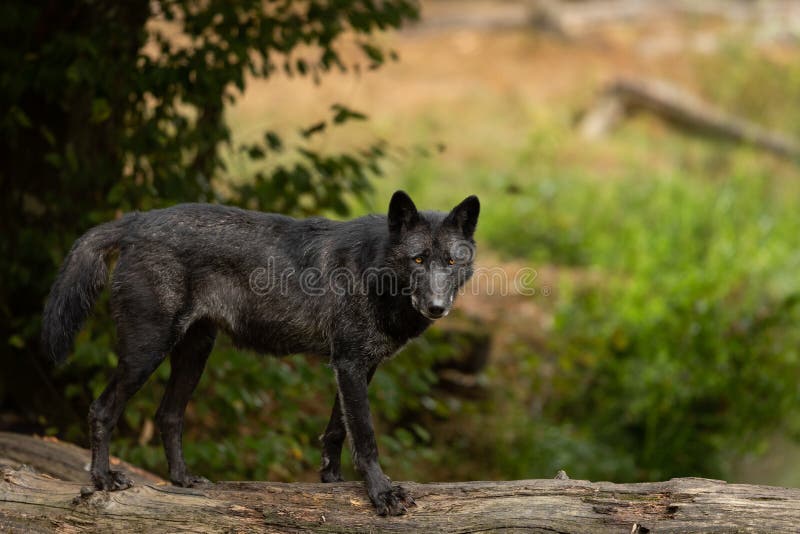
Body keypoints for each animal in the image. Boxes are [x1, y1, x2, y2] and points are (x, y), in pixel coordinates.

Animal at [41, 190, 479, 516]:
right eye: (418, 259)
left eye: (451, 261)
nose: (437, 307)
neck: (374, 270)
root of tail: (135, 220)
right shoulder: (351, 364)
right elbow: (366, 436)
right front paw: (381, 495)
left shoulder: (355, 367)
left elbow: (336, 430)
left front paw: (332, 483)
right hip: (146, 351)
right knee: (102, 409)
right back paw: (103, 480)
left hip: (194, 353)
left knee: (167, 415)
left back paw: (182, 480)